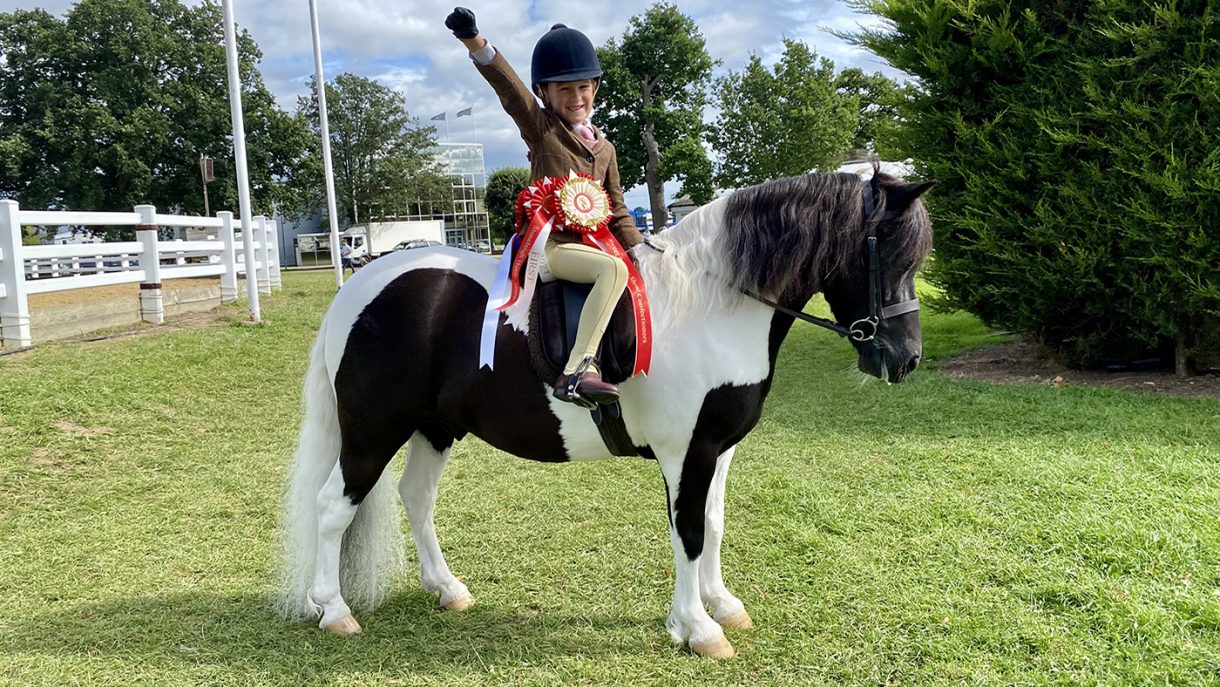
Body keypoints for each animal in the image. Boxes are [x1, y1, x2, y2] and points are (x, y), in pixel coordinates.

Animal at [275, 170, 934, 658]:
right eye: (889, 255)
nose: (905, 360)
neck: (713, 301)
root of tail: (359, 287)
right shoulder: (686, 452)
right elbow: (688, 531)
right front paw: (698, 628)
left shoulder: (718, 447)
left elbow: (714, 523)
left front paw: (723, 605)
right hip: (372, 430)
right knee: (333, 506)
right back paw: (333, 610)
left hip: (435, 427)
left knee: (416, 498)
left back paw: (447, 589)